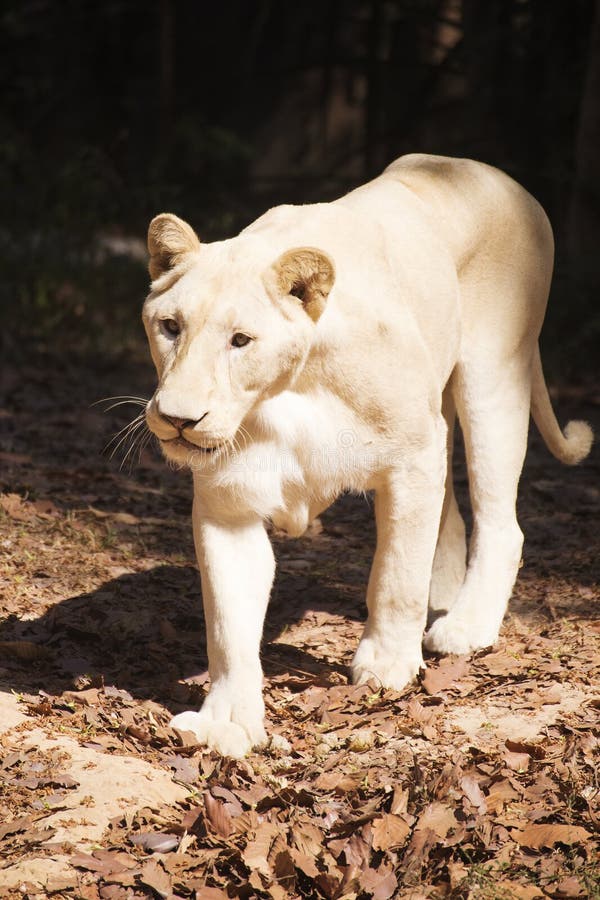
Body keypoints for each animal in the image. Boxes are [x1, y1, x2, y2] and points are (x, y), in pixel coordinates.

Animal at [142, 153, 592, 757]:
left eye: (241, 341)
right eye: (170, 327)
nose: (179, 419)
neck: (289, 387)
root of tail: (489, 172)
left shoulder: (412, 456)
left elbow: (396, 573)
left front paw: (387, 666)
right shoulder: (229, 504)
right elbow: (228, 622)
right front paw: (226, 722)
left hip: (494, 373)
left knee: (502, 521)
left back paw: (464, 628)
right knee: (449, 517)